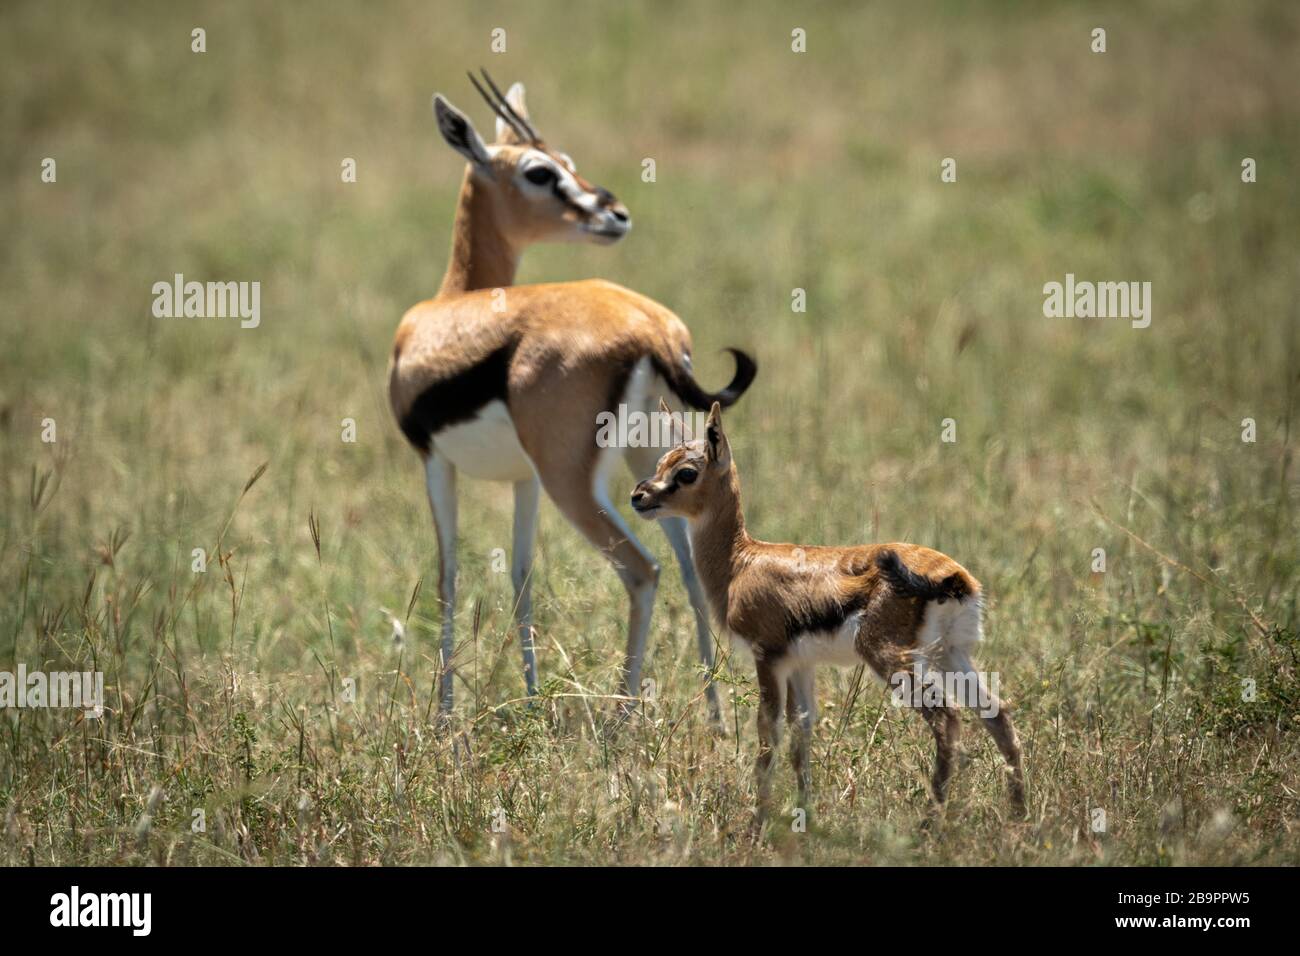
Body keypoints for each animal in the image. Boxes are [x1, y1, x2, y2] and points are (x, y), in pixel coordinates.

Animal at [389, 72, 756, 720]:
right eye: (541, 171)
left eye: (566, 163)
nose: (615, 213)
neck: (446, 310)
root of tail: (651, 329)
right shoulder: (524, 476)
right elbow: (522, 577)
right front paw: (532, 700)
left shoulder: (436, 460)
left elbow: (448, 577)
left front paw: (446, 717)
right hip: (656, 459)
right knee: (692, 566)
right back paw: (713, 714)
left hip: (576, 482)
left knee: (644, 571)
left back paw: (622, 719)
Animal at [631, 403, 1025, 823]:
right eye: (661, 461)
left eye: (686, 472)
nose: (638, 496)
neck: (740, 563)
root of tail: (952, 575)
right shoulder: (800, 664)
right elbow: (801, 733)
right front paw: (804, 813)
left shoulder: (767, 657)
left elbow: (768, 735)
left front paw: (758, 822)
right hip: (950, 654)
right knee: (997, 714)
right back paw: (1019, 814)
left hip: (892, 659)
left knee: (948, 719)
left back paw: (929, 822)